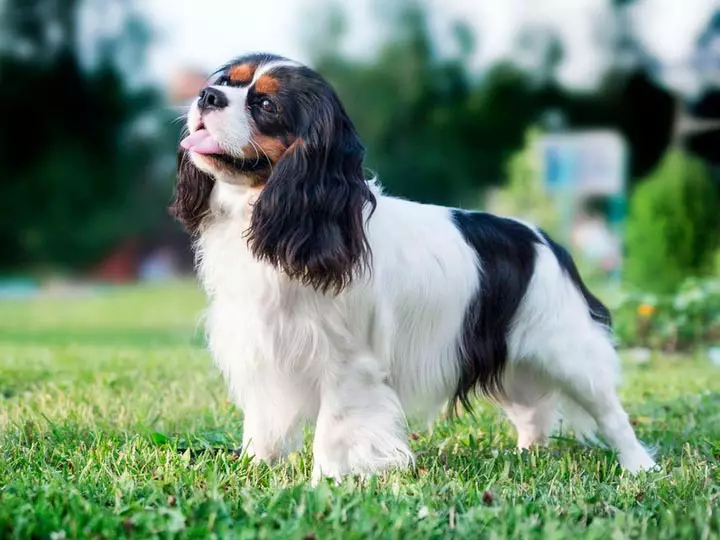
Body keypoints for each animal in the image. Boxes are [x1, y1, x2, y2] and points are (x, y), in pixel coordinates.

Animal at [172, 51, 656, 480]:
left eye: (266, 105)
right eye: (226, 82)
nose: (207, 95)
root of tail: (548, 241)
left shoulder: (348, 365)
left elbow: (333, 429)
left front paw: (327, 481)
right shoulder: (266, 349)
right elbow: (263, 424)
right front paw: (252, 468)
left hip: (569, 352)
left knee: (611, 413)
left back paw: (639, 467)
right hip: (513, 360)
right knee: (533, 412)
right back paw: (528, 456)